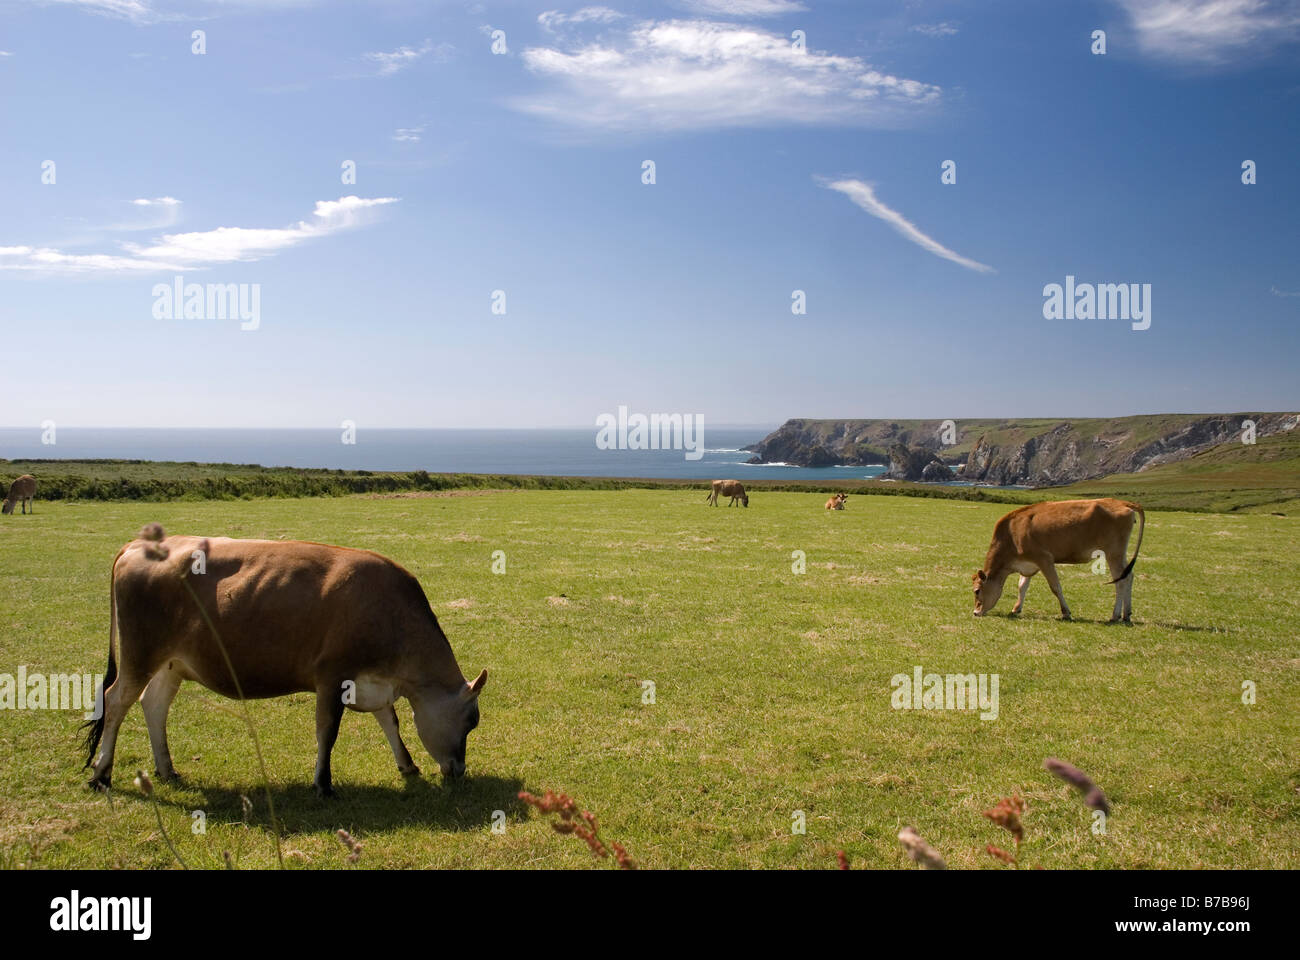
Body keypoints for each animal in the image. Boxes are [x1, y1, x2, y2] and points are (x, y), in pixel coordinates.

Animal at [83, 527, 488, 797]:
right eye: (471, 720)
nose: (459, 770)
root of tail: (138, 544)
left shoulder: (373, 681)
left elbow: (390, 722)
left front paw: (407, 765)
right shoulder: (332, 676)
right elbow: (327, 730)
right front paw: (323, 783)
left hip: (172, 662)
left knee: (153, 705)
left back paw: (166, 769)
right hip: (140, 653)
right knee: (116, 701)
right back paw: (101, 775)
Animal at [972, 498, 1145, 622]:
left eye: (977, 591)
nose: (975, 612)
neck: (1012, 534)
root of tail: (1121, 502)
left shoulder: (1044, 558)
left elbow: (1055, 587)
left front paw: (1066, 612)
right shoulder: (1029, 564)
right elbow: (1022, 586)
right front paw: (1016, 609)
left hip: (1113, 552)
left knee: (1121, 580)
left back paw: (1115, 615)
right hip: (1118, 554)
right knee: (1129, 576)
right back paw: (1126, 614)